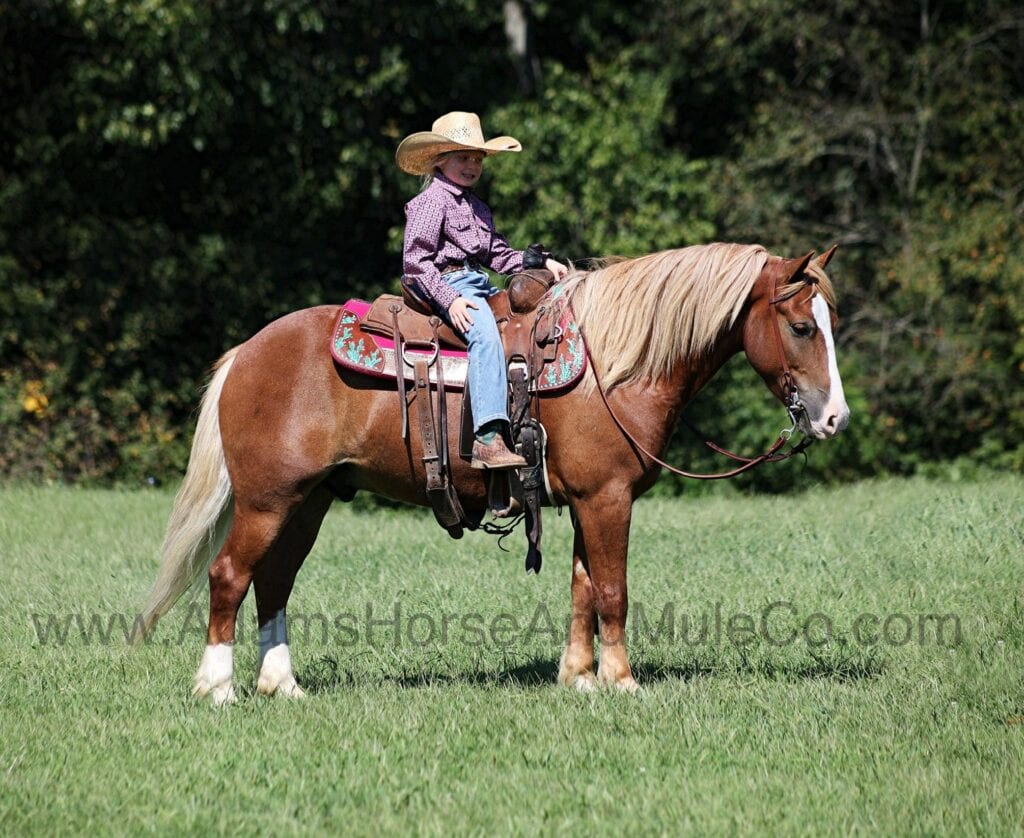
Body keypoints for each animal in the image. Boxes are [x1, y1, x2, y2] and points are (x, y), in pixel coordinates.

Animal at [139, 242, 849, 703]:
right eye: (800, 326)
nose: (834, 417)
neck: (612, 362)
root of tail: (245, 353)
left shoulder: (586, 501)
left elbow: (581, 588)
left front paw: (579, 678)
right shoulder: (608, 499)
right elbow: (611, 591)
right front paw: (622, 682)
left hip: (307, 501)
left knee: (274, 582)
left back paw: (282, 685)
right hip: (267, 501)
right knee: (229, 576)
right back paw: (217, 688)